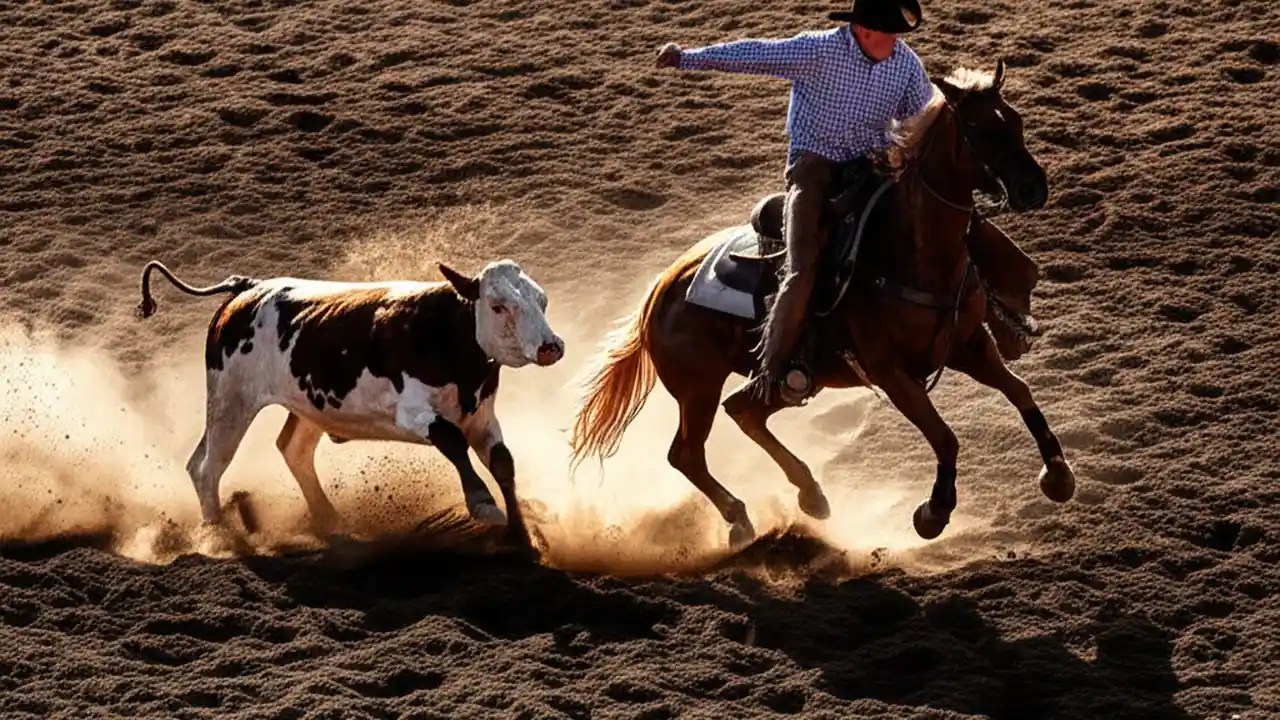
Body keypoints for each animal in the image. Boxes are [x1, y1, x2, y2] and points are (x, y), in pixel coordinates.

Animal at [569, 60, 1075, 547]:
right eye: (977, 130)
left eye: (1015, 120)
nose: (1033, 188)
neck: (908, 254)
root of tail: (662, 288)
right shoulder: (890, 373)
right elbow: (944, 437)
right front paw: (934, 511)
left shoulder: (968, 345)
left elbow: (1020, 392)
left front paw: (1058, 475)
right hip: (698, 388)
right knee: (688, 453)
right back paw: (741, 519)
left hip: (767, 383)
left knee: (742, 413)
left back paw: (809, 494)